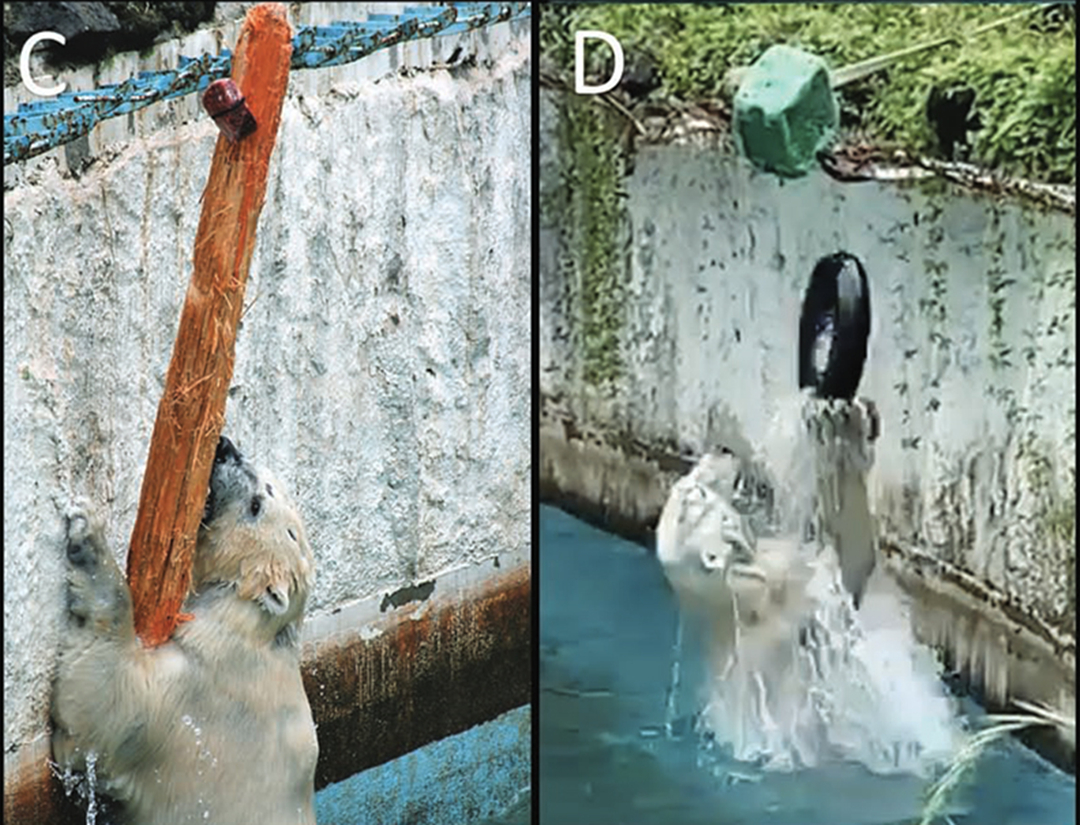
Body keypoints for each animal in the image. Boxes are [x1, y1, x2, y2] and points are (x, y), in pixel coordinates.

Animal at [52, 436, 318, 825]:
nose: (225, 446)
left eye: (256, 504)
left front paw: (88, 533)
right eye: (263, 475)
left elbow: (110, 708)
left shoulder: (197, 692)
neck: (249, 631)